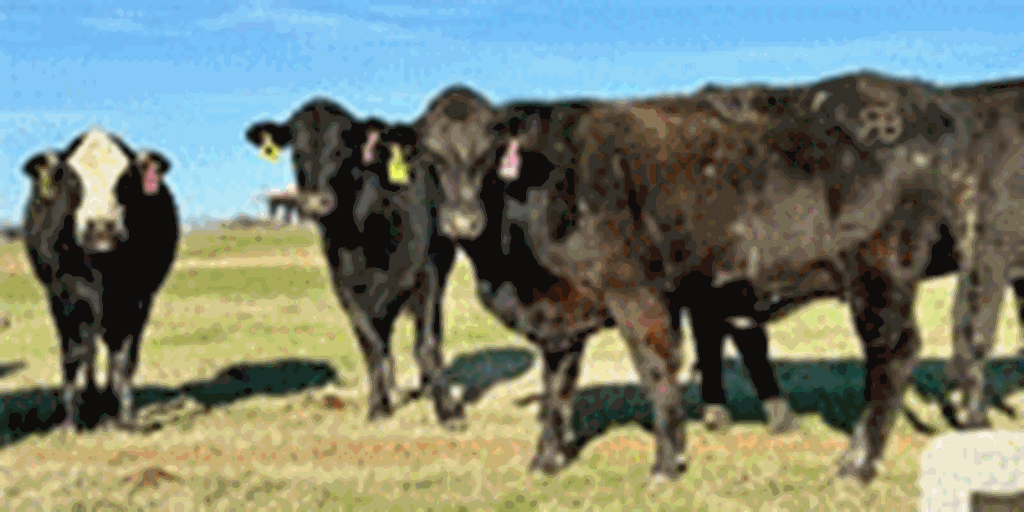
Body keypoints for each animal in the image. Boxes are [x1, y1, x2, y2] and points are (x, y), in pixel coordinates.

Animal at [22, 127, 180, 434]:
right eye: (71, 178)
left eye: (126, 179)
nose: (101, 229)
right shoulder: (62, 295)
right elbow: (74, 354)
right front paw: (70, 422)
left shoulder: (138, 297)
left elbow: (124, 358)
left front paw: (125, 417)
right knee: (90, 349)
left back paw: (106, 404)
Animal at [243, 99, 465, 430]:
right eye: (296, 151)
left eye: (343, 149)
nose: (315, 203)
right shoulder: (345, 289)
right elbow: (371, 346)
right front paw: (378, 405)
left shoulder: (425, 275)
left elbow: (426, 343)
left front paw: (448, 411)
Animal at [424, 73, 1024, 484]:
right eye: (429, 157)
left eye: (489, 155)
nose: (461, 221)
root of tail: (924, 99)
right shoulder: (563, 310)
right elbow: (557, 386)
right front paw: (547, 457)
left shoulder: (634, 291)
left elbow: (656, 368)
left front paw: (668, 461)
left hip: (881, 274)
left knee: (894, 354)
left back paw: (859, 462)